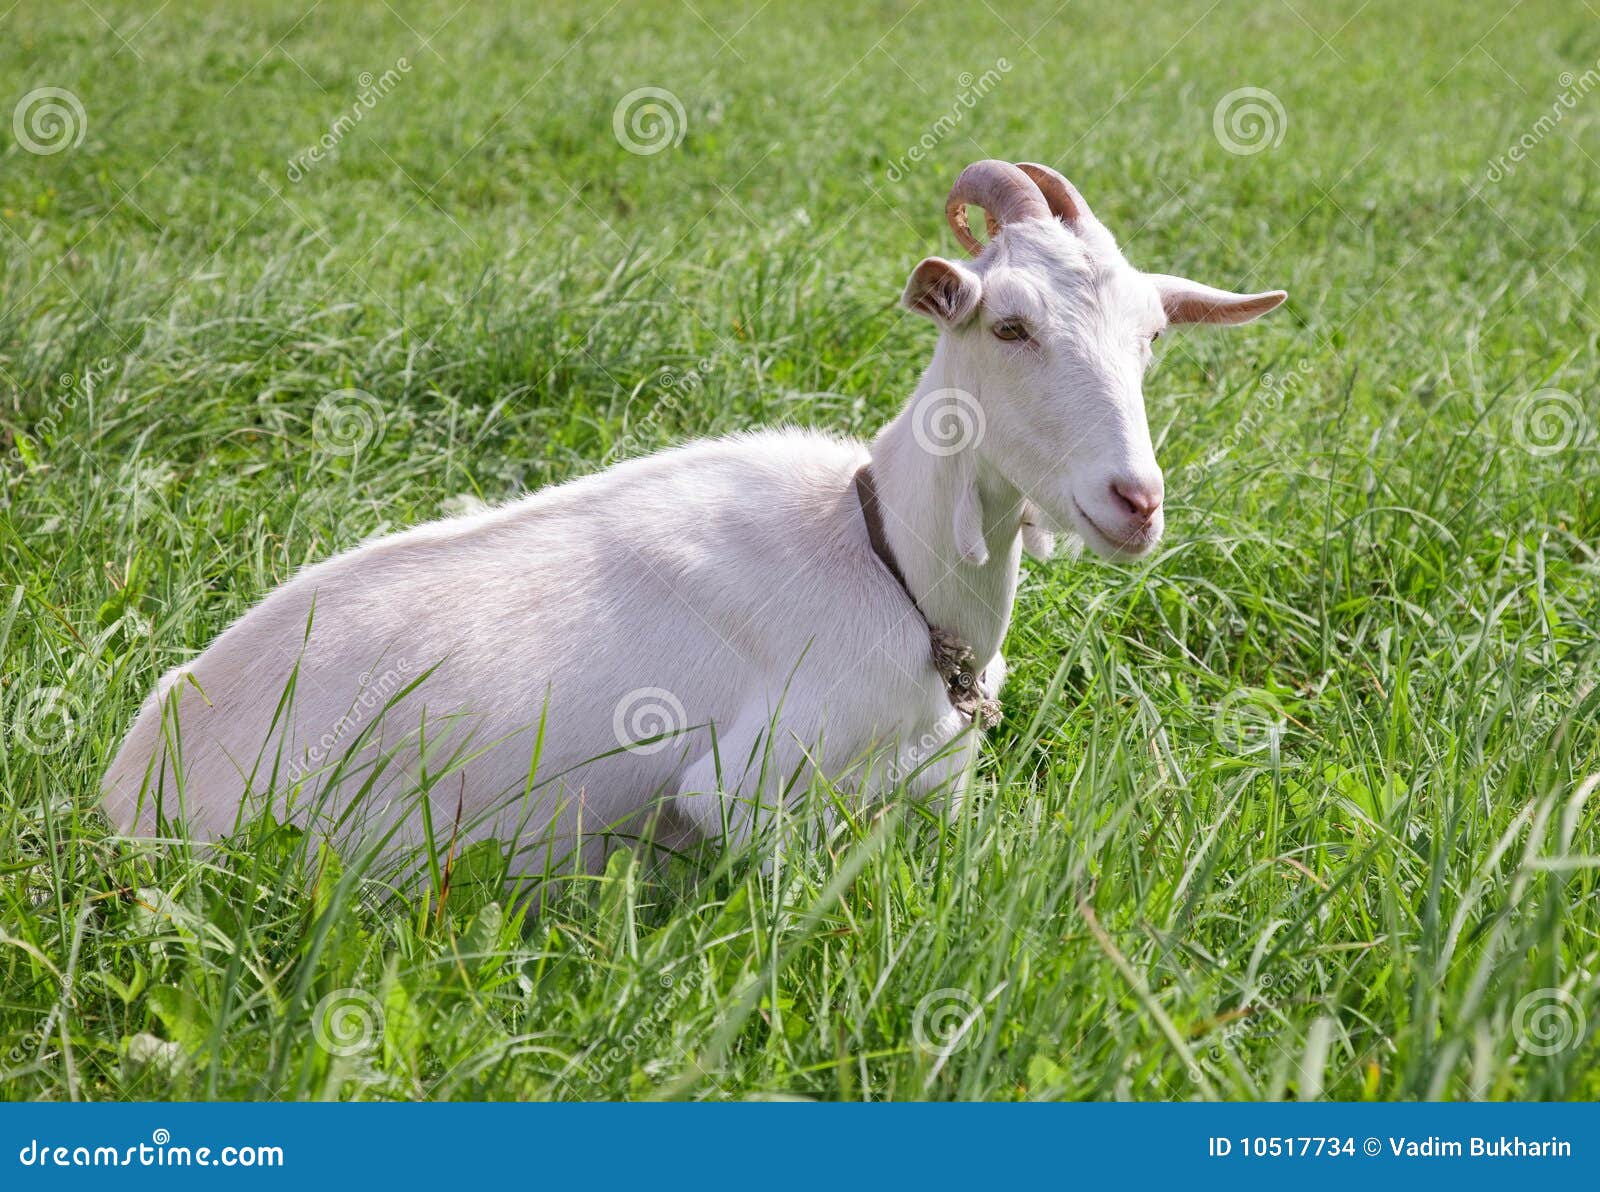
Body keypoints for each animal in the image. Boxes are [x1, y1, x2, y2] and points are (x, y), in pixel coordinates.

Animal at [103, 160, 1286, 870]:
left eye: (1151, 336)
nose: (1134, 501)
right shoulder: (749, 785)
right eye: (1009, 326)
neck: (887, 560)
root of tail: (125, 782)